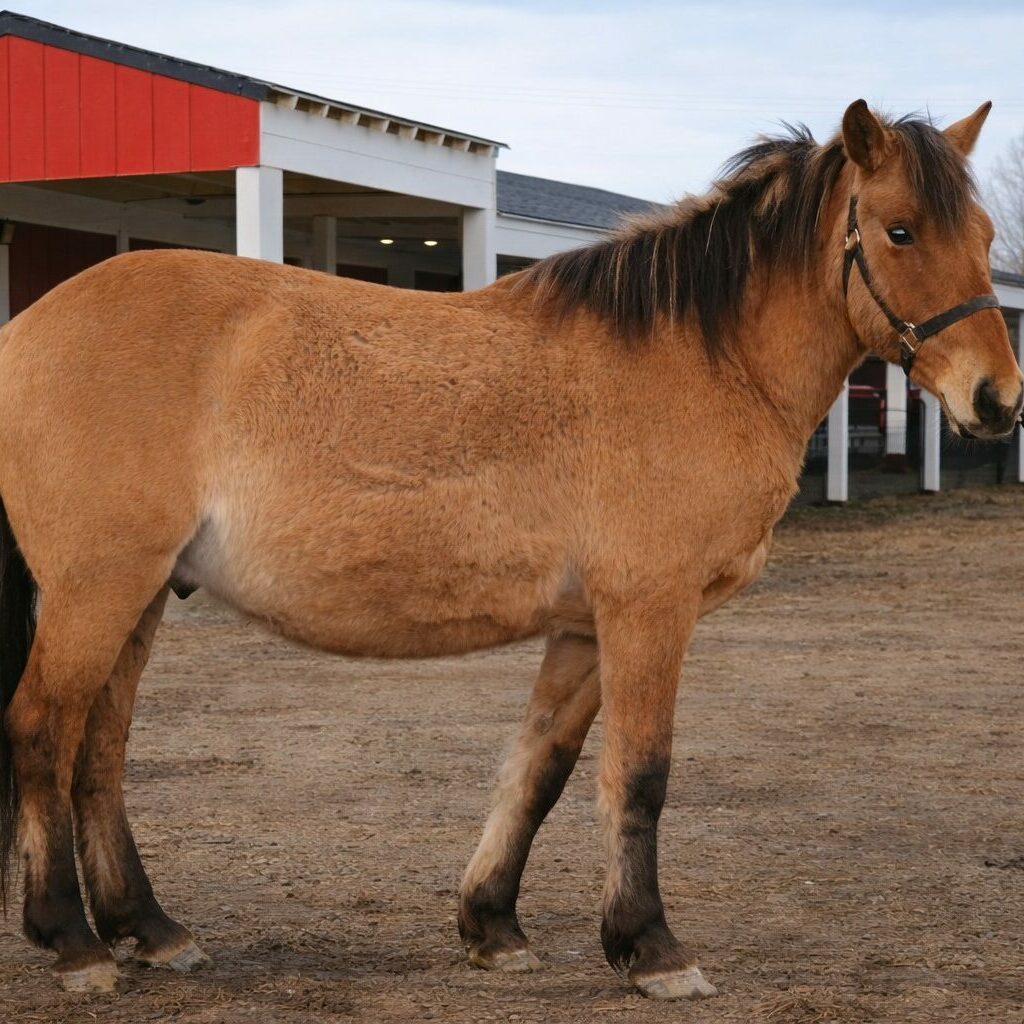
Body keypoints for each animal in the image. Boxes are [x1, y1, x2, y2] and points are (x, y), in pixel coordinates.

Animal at [0, 99, 1019, 1001]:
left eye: (980, 232)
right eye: (898, 231)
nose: (998, 399)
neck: (699, 359)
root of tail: (27, 329)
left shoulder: (583, 629)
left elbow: (539, 770)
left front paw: (493, 926)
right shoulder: (649, 612)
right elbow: (638, 776)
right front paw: (652, 949)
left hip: (139, 596)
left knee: (101, 748)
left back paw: (148, 929)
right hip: (99, 590)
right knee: (44, 732)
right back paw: (72, 942)